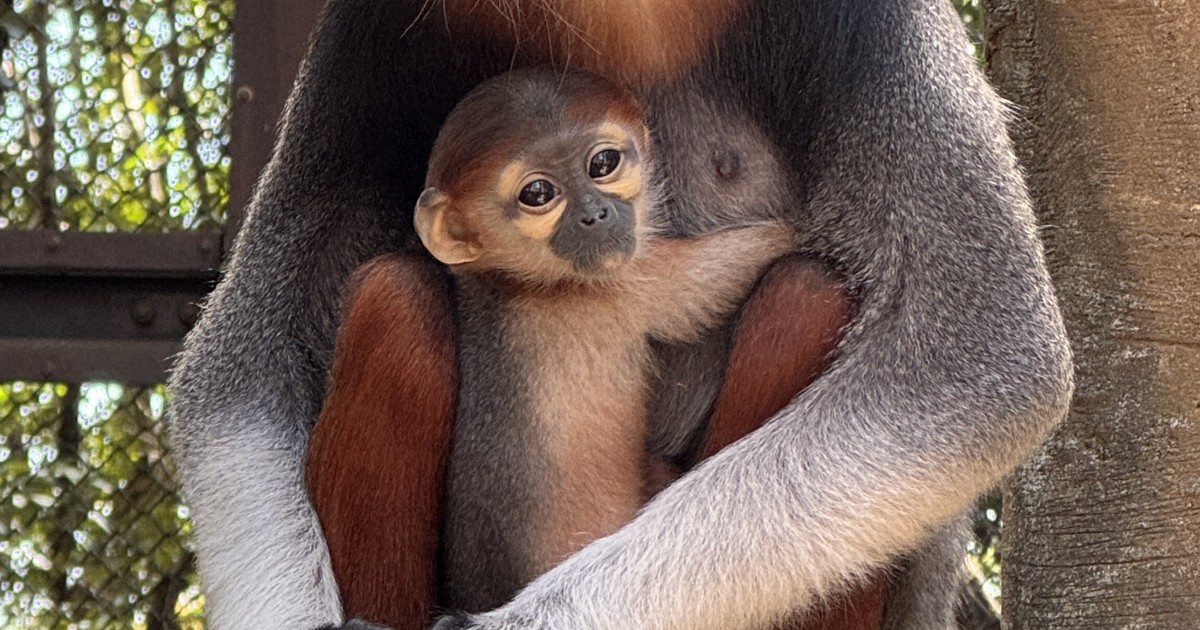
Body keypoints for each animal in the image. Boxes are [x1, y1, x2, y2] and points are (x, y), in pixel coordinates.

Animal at [167, 1, 1073, 629]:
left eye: (606, 164)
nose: (596, 217)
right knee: (393, 292)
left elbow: (990, 354)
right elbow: (237, 377)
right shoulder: (370, 29)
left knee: (811, 291)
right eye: (536, 193)